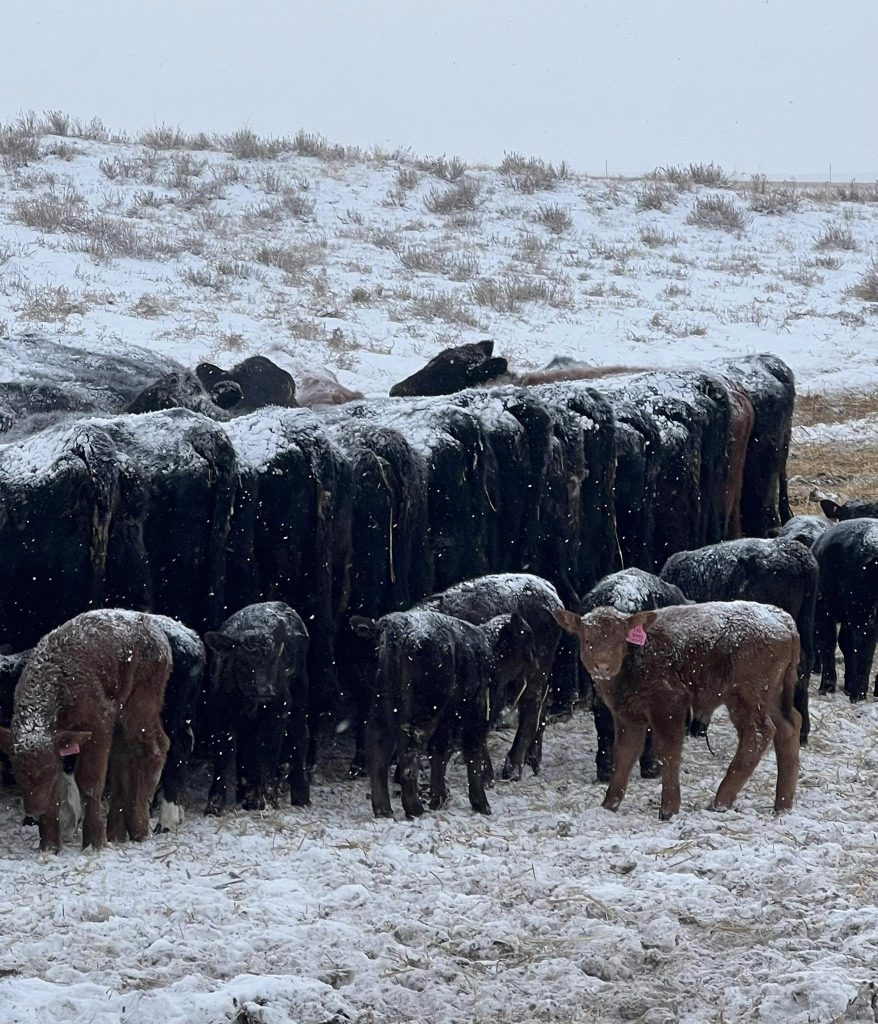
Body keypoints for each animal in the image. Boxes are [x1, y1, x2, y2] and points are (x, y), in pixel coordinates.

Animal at [0, 610, 172, 852]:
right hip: (123, 714)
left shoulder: (97, 723)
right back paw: (117, 832)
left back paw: (139, 825)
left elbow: (89, 780)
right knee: (123, 758)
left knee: (155, 746)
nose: (34, 809)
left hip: (140, 704)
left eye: (46, 769)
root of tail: (155, 630)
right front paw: (49, 844)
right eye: (17, 770)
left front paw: (94, 841)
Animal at [202, 602, 310, 815]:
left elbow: (268, 750)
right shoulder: (219, 713)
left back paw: (300, 795)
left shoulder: (279, 709)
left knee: (300, 737)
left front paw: (269, 800)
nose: (264, 690)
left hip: (300, 696)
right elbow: (223, 754)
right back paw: (250, 797)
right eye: (243, 661)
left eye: (275, 660)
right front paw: (214, 804)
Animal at [351, 609, 536, 819]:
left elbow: (441, 751)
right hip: (424, 712)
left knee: (378, 747)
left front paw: (439, 798)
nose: (536, 665)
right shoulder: (475, 714)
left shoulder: (447, 718)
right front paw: (480, 803)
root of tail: (396, 629)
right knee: (409, 754)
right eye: (527, 637)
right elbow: (473, 753)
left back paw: (384, 809)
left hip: (382, 704)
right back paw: (414, 807)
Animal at [555, 602, 801, 819]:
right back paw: (782, 804)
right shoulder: (627, 715)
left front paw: (669, 808)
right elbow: (625, 754)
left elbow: (668, 751)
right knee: (788, 727)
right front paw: (609, 804)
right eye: (587, 639)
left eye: (619, 640)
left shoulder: (668, 705)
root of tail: (782, 618)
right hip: (771, 697)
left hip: (746, 697)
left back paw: (721, 800)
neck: (637, 655)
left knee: (759, 733)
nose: (603, 666)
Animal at [812, 519, 878, 702]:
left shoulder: (824, 611)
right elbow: (845, 644)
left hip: (861, 608)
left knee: (864, 640)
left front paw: (827, 686)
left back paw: (858, 693)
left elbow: (828, 642)